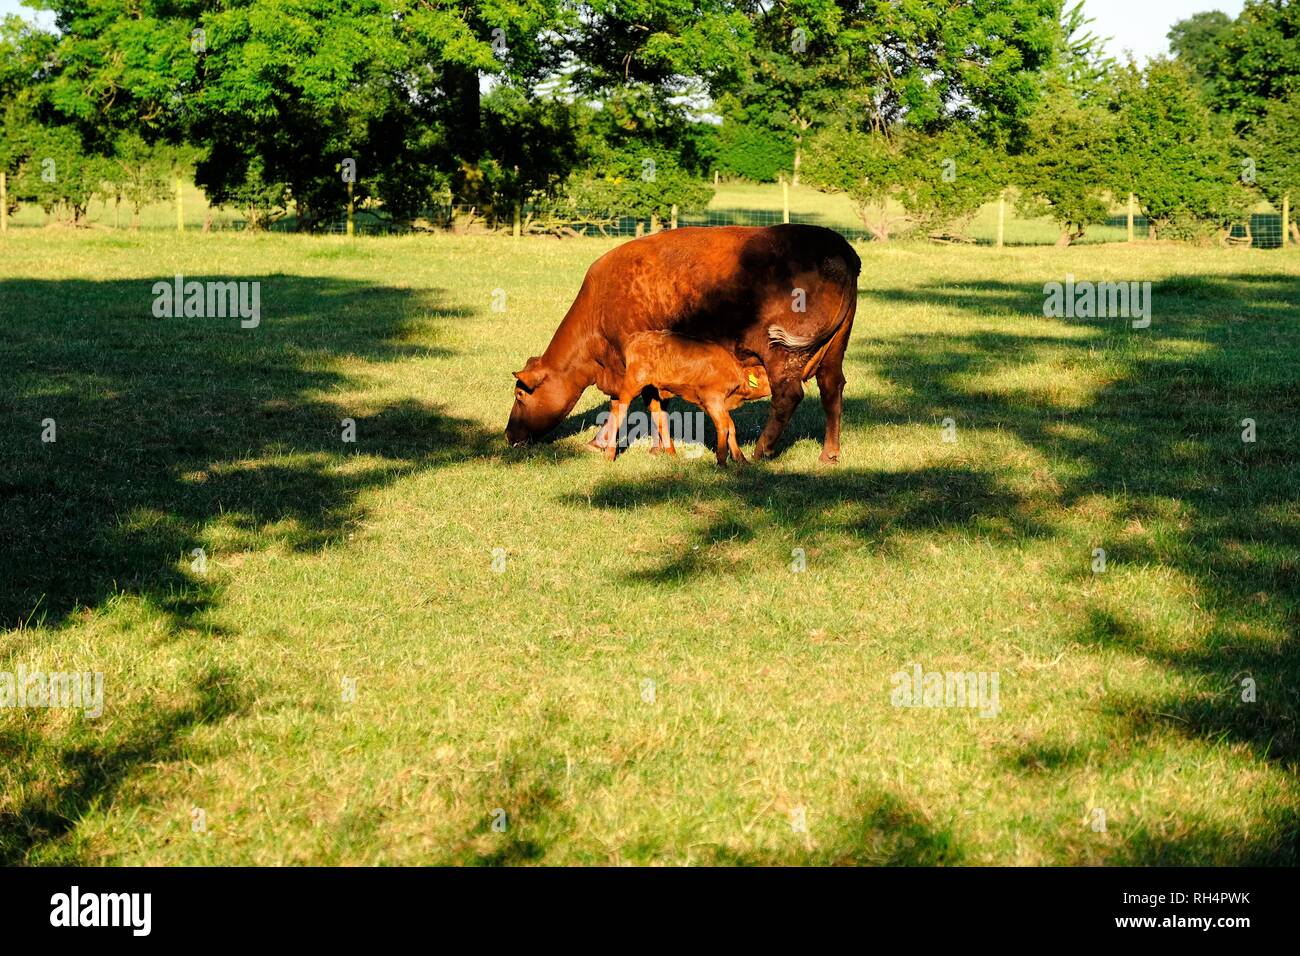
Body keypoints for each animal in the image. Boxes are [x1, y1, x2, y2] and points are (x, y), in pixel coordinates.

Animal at [603, 330, 772, 465]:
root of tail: (638, 336)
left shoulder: (716, 404)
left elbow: (731, 426)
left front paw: (741, 460)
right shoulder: (712, 399)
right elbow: (724, 425)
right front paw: (721, 461)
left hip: (652, 391)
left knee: (659, 417)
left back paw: (673, 455)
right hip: (633, 383)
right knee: (619, 412)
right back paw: (609, 455)